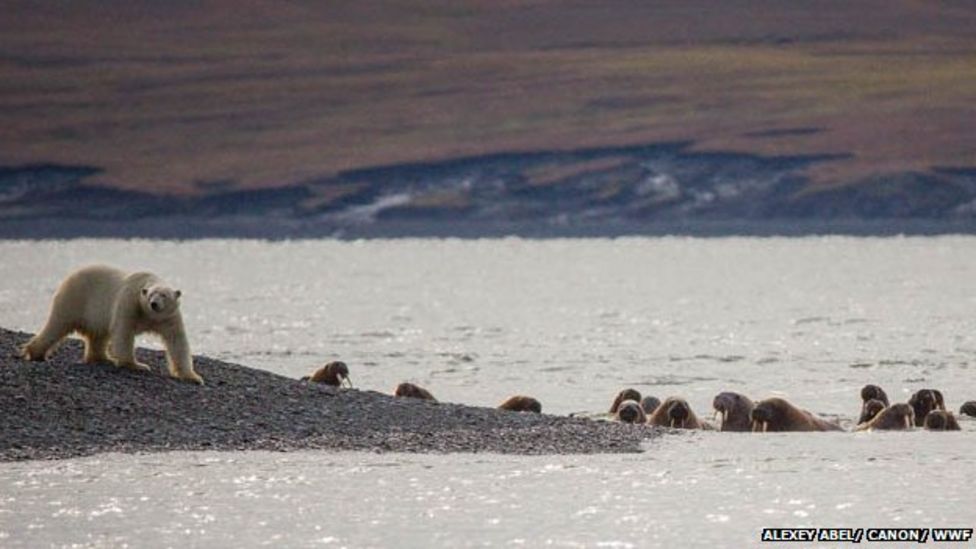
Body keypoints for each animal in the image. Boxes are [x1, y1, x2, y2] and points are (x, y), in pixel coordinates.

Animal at [21, 265, 203, 384]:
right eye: (150, 294)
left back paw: (102, 358)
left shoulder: (169, 318)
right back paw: (36, 353)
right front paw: (137, 365)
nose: (154, 304)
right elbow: (124, 332)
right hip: (74, 298)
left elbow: (177, 341)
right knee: (57, 325)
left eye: (163, 295)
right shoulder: (129, 302)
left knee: (99, 335)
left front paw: (193, 377)